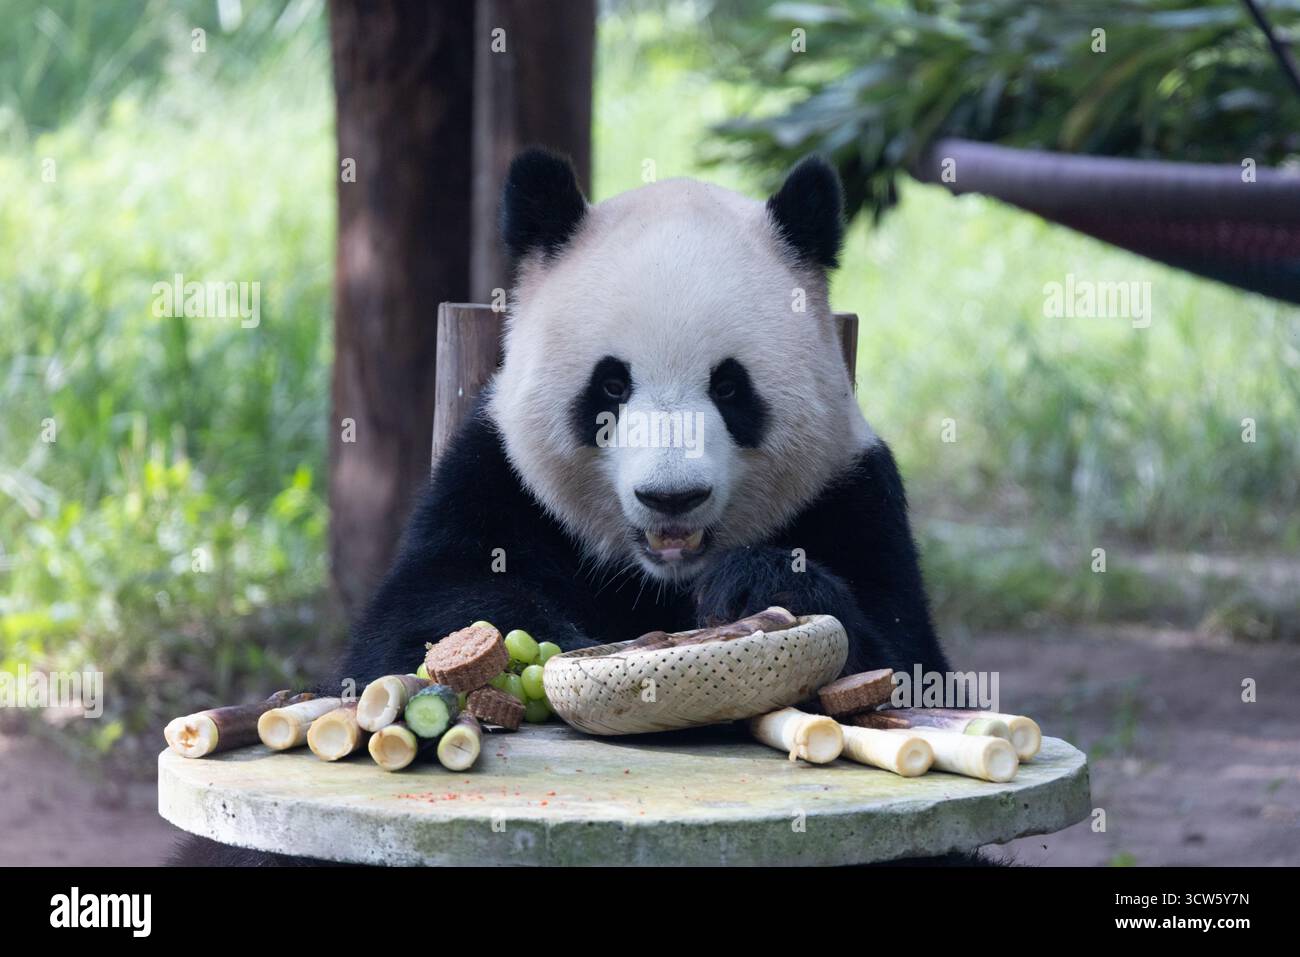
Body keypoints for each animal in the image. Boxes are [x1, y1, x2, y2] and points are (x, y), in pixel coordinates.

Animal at [175, 150, 953, 866]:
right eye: (610, 385)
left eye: (731, 388)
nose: (671, 497)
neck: (656, 577)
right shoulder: (497, 476)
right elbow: (415, 618)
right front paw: (545, 649)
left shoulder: (850, 489)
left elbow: (907, 662)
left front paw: (755, 586)